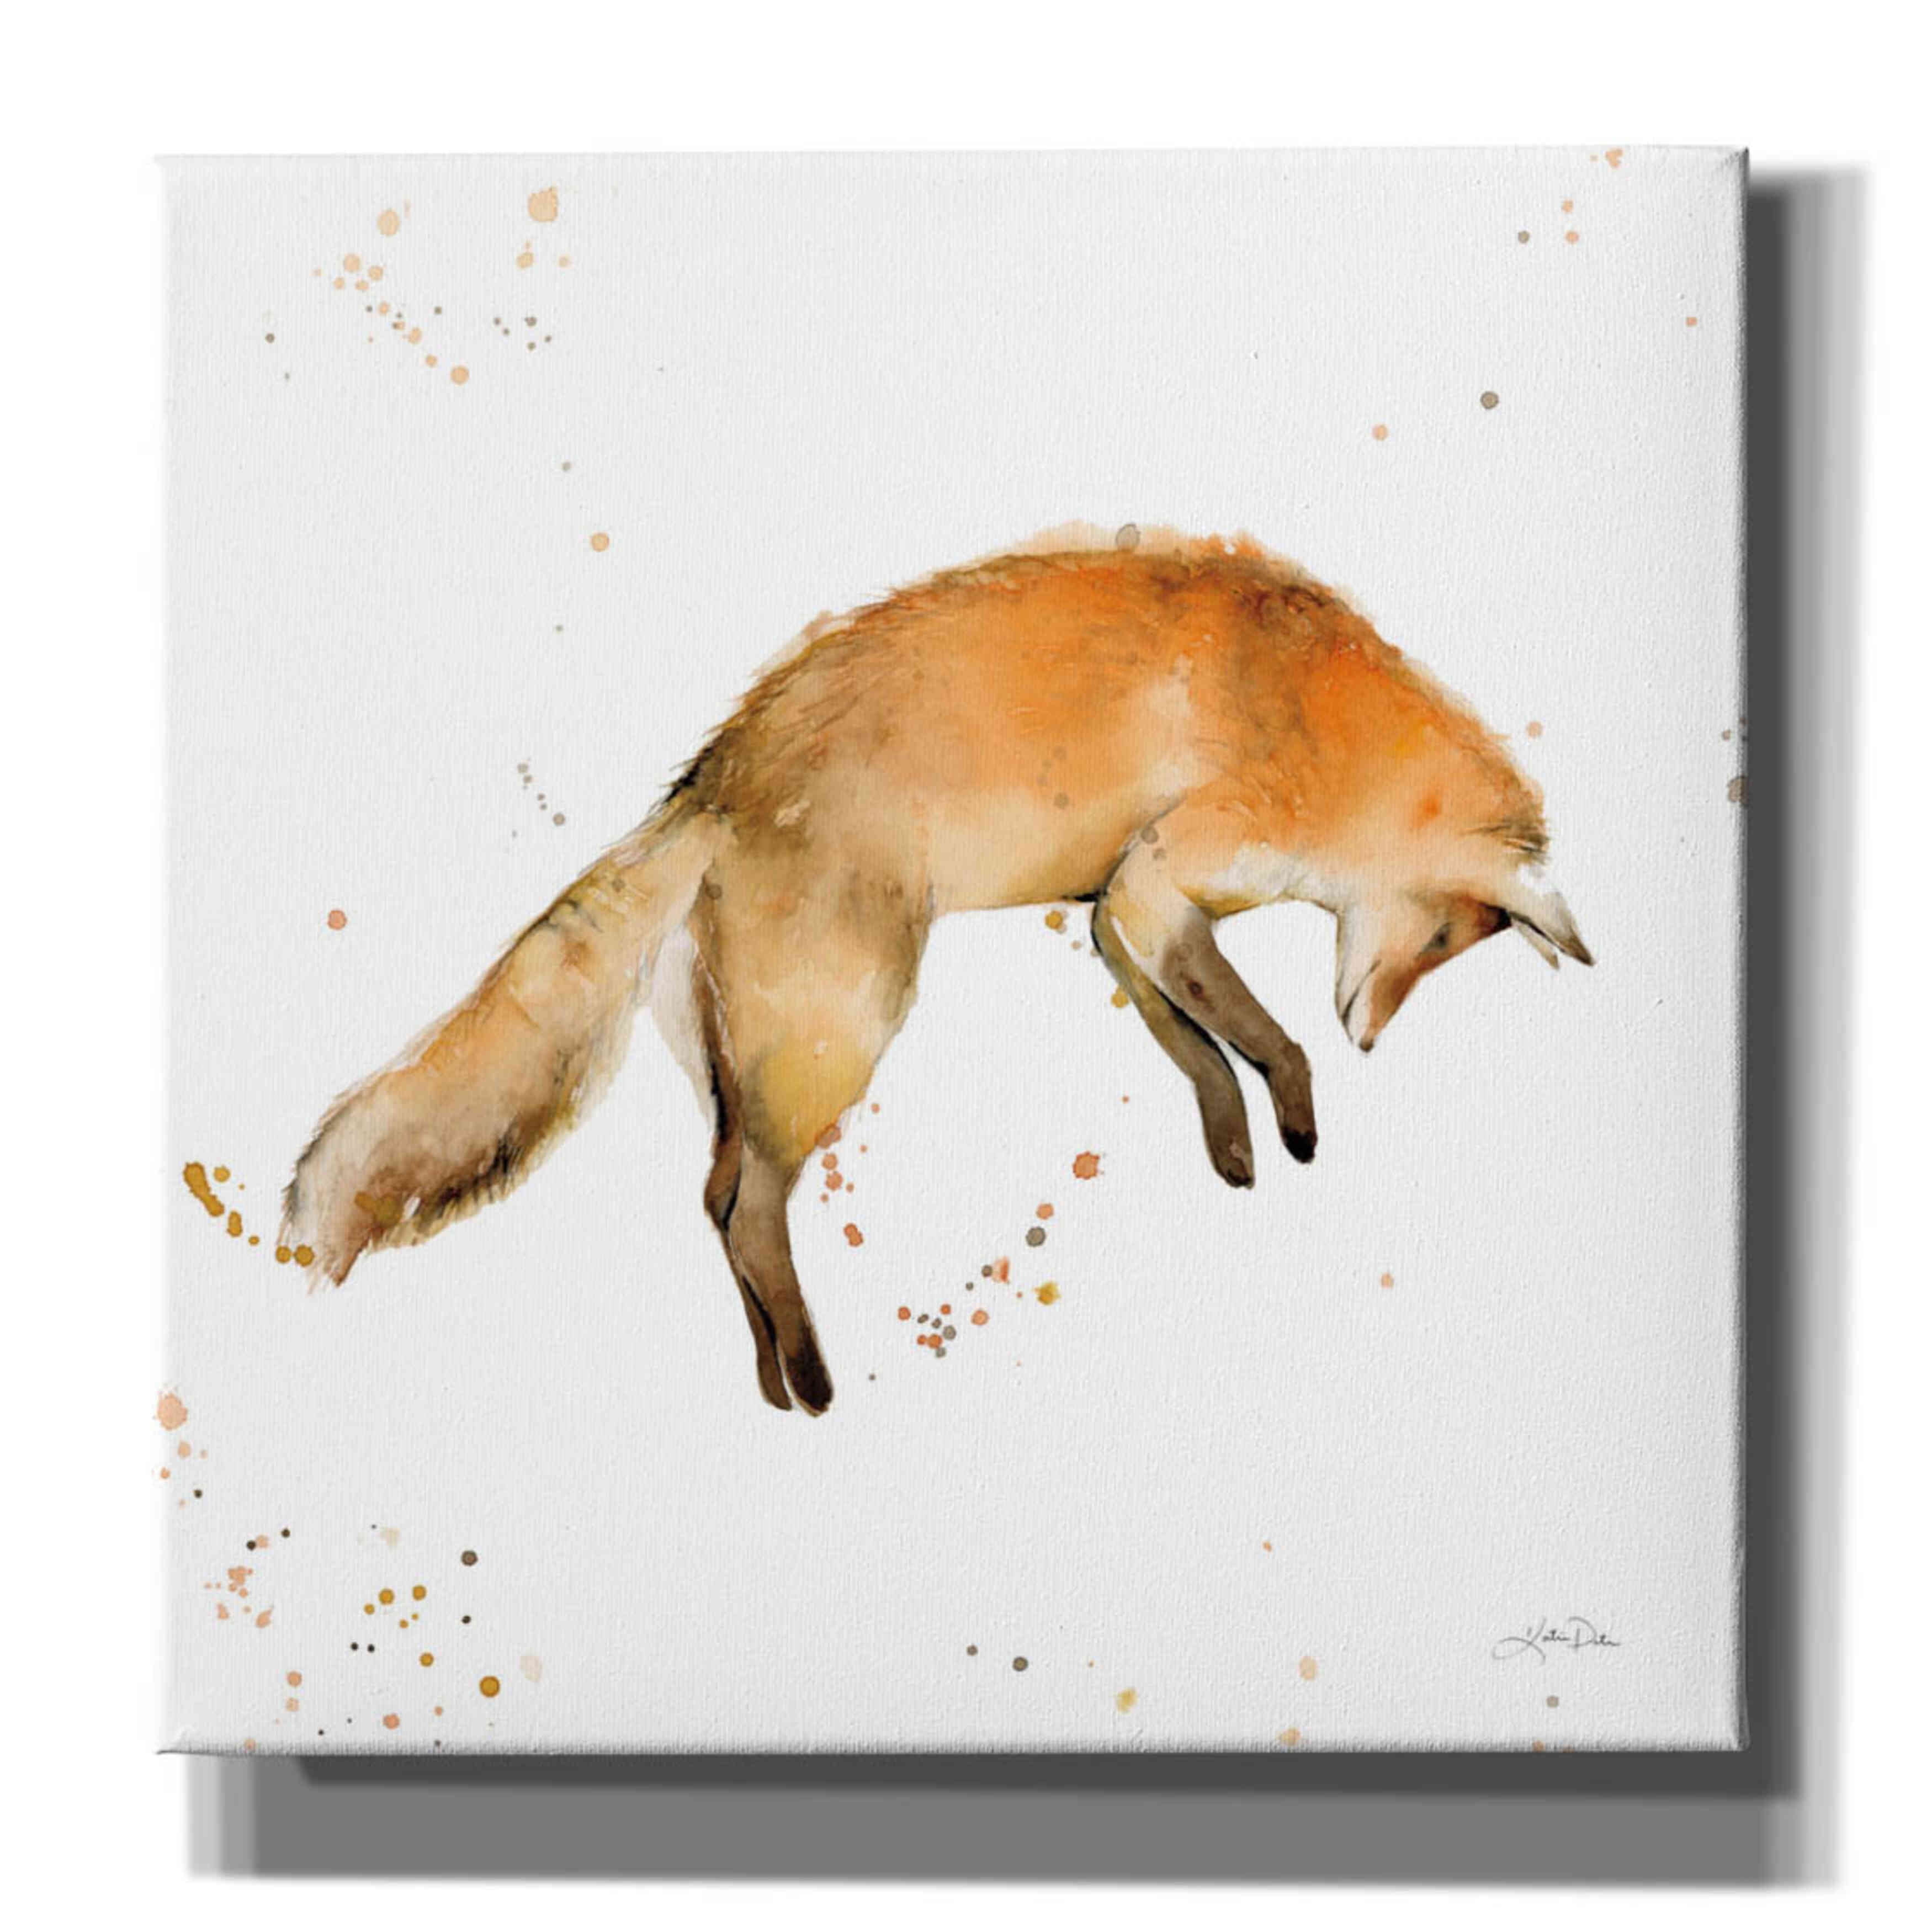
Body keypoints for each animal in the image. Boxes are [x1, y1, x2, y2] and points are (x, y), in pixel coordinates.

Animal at [283, 524, 1591, 1416]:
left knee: (714, 1199)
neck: (1327, 723)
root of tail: (712, 778)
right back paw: (814, 1379)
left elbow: (1198, 1047)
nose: (1374, 1033)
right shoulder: (1157, 883)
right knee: (748, 1206)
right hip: (841, 1031)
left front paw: (1235, 1143)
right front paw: (1299, 1109)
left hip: (754, 1061)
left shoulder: (1118, 914)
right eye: (1439, 939)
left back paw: (771, 1377)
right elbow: (1264, 1034)